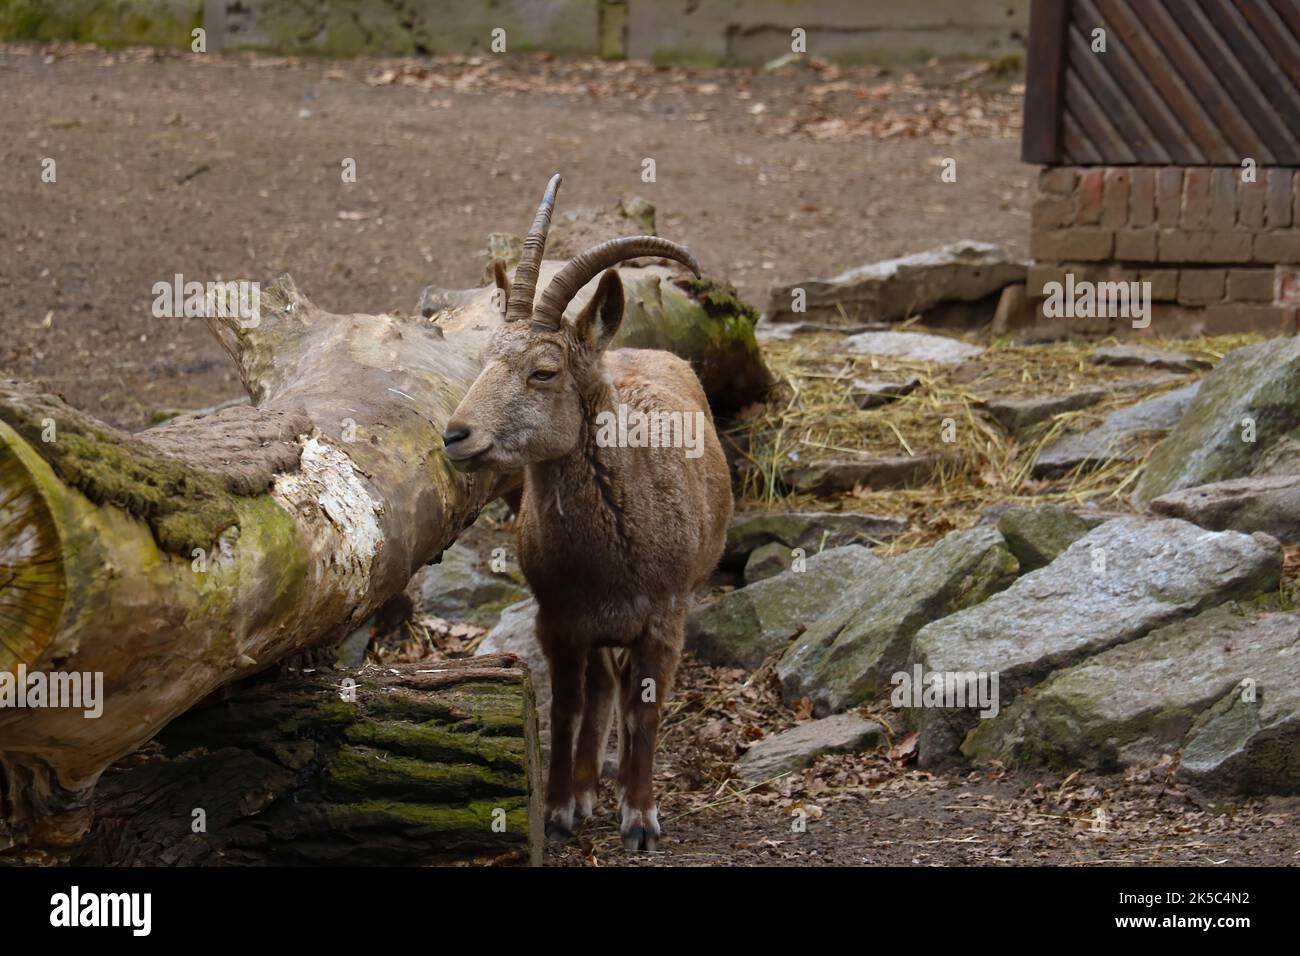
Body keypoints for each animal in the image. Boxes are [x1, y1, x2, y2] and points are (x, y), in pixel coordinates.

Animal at [442, 174, 732, 851]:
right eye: (484, 361)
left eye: (543, 371)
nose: (456, 435)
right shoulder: (559, 620)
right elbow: (566, 705)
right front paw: (557, 809)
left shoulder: (664, 617)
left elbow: (647, 708)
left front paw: (642, 818)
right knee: (601, 688)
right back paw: (585, 787)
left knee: (623, 693)